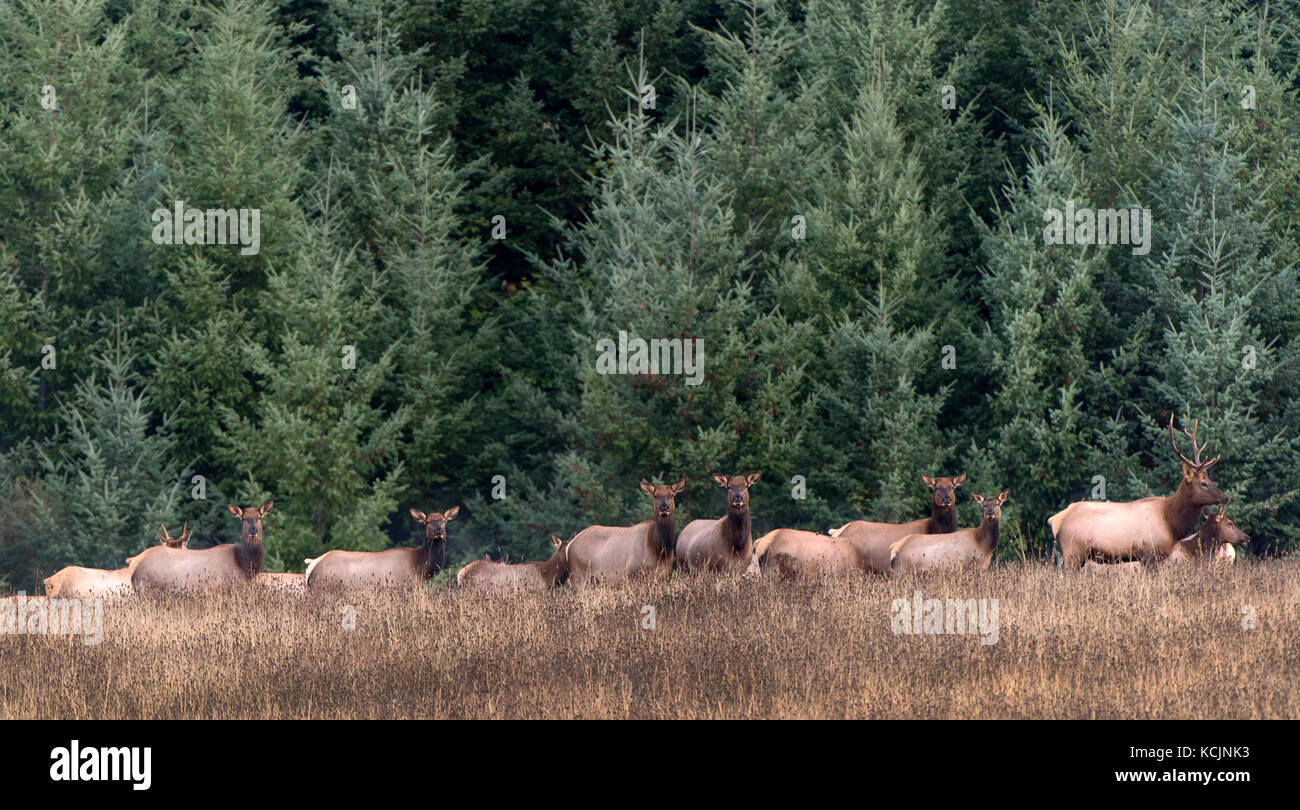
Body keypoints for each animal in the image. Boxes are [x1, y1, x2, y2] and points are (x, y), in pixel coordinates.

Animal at [1050, 415, 1228, 569]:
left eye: (1209, 479)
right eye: (1203, 483)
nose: (1226, 498)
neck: (1171, 523)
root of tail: (1055, 520)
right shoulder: (1149, 553)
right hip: (1073, 552)